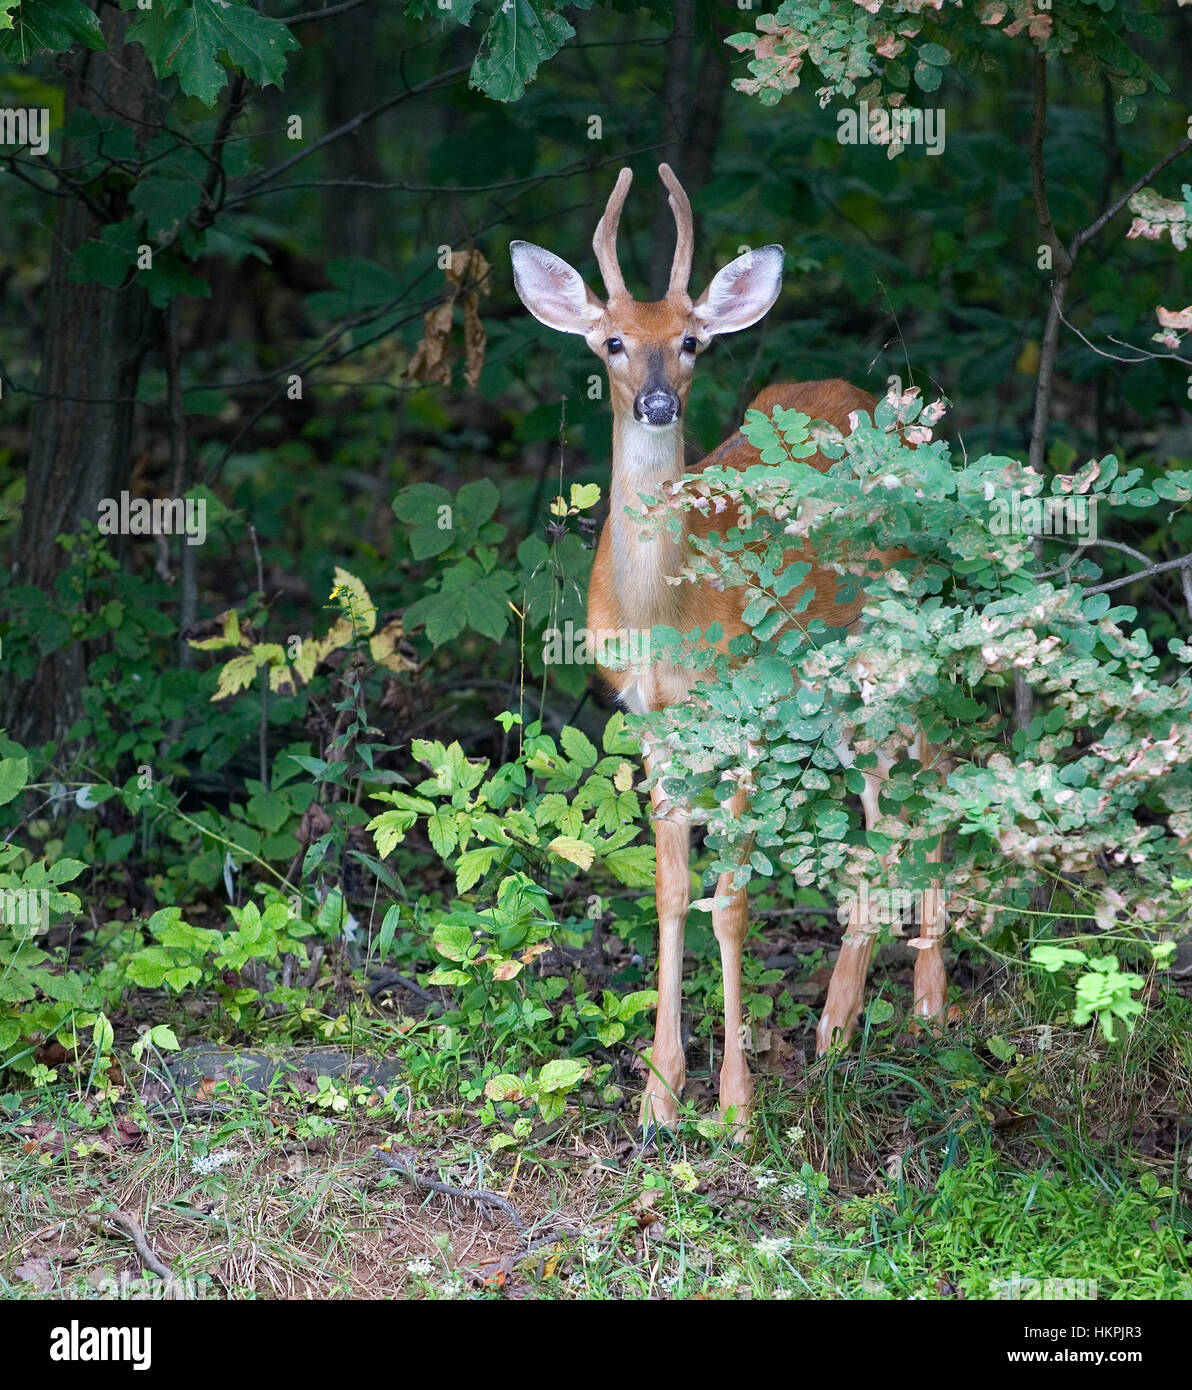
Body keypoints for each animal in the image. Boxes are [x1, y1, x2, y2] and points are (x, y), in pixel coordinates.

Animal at [510, 164, 947, 1133]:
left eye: (693, 342)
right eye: (611, 342)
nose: (658, 402)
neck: (666, 609)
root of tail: (876, 404)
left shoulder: (743, 705)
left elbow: (735, 902)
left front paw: (740, 1109)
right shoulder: (649, 717)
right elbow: (673, 893)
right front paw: (661, 1096)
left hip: (891, 640)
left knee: (932, 770)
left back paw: (926, 1002)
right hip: (831, 692)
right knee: (882, 808)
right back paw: (841, 1022)